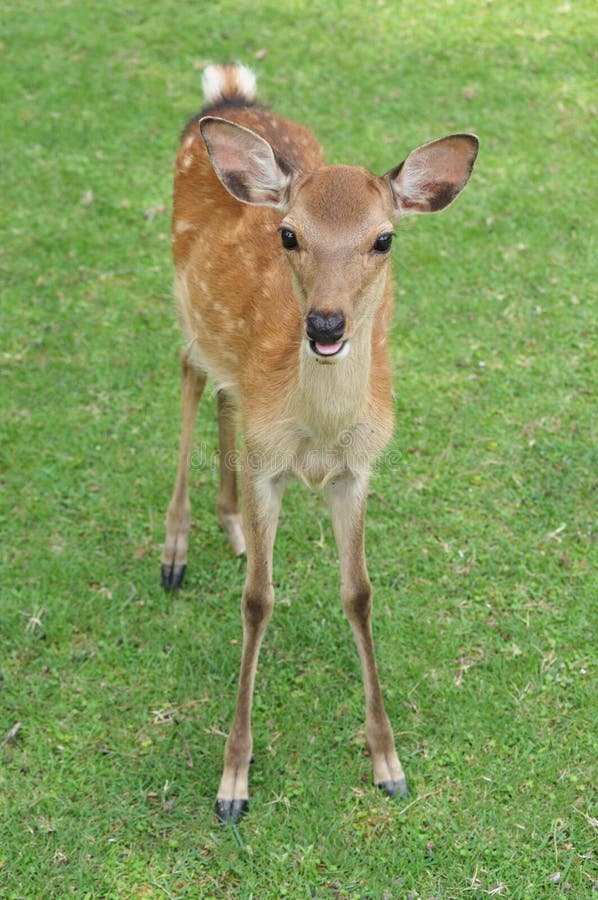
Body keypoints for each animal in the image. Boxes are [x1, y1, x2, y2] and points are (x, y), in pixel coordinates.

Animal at [161, 62, 478, 823]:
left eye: (384, 238)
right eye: (288, 234)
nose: (325, 324)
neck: (316, 433)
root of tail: (229, 94)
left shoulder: (357, 470)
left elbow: (359, 593)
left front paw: (389, 764)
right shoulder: (267, 466)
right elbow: (258, 600)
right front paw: (233, 782)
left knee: (223, 391)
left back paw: (230, 525)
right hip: (185, 299)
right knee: (189, 373)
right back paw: (176, 550)